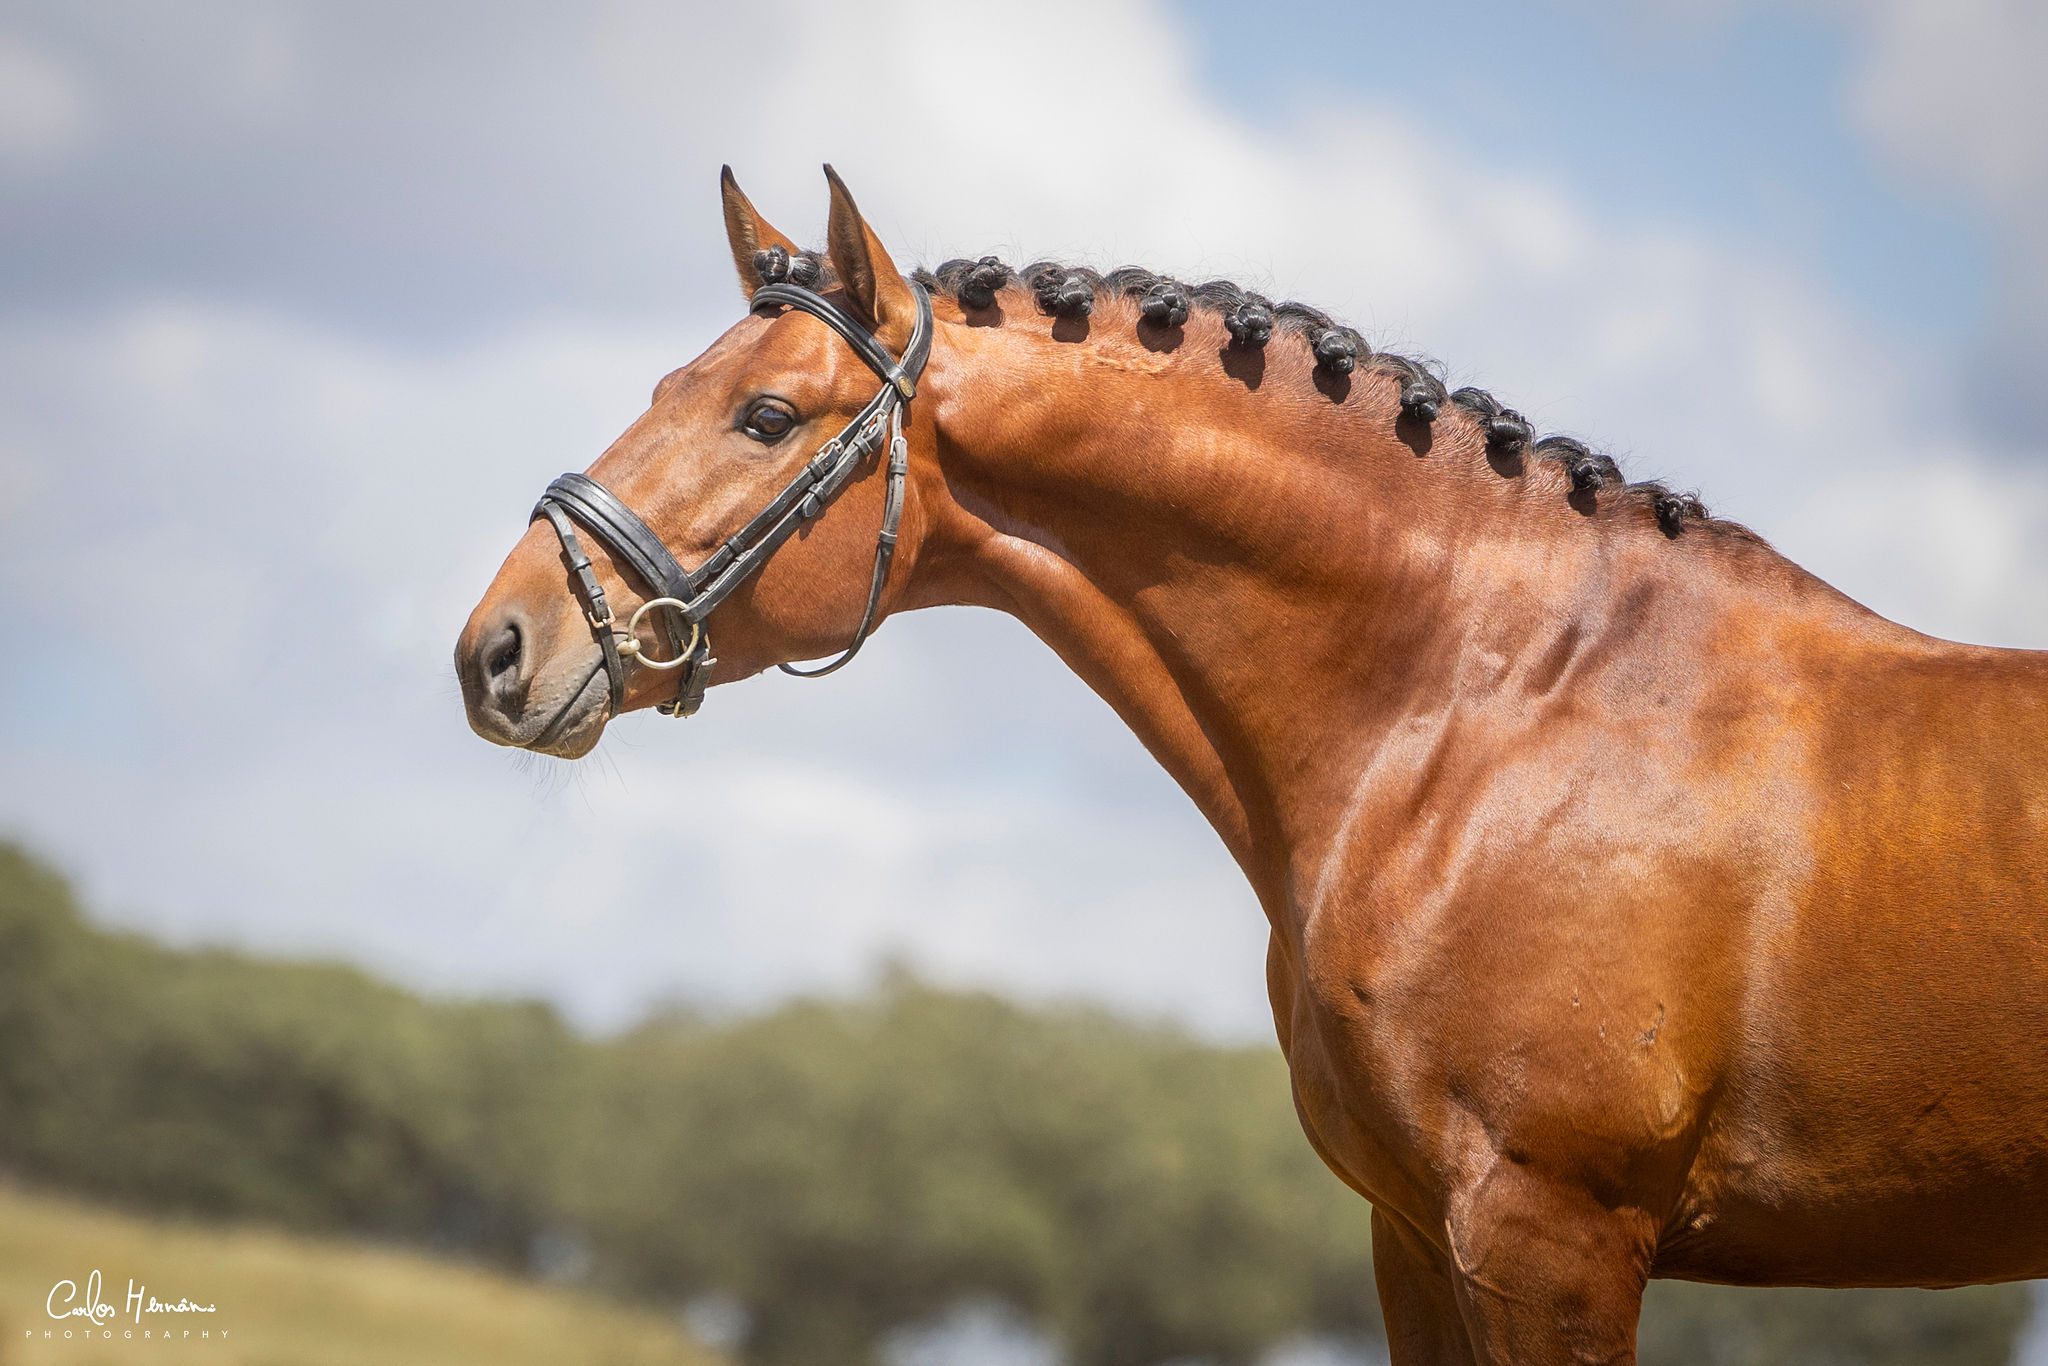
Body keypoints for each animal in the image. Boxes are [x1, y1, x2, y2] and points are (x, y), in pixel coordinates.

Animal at [456, 166, 2048, 1364]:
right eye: (667, 382)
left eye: (766, 417)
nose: (496, 650)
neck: (1500, 714)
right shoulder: (1415, 1237)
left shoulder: (1550, 1234)